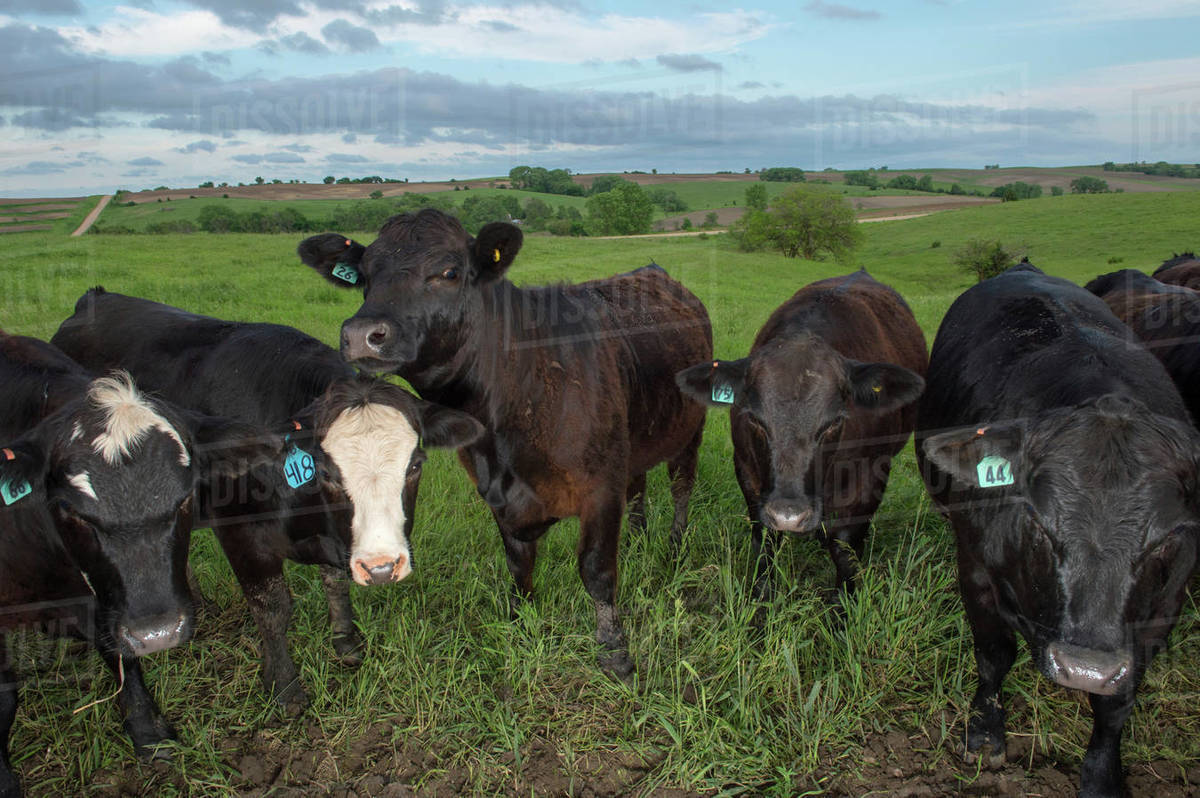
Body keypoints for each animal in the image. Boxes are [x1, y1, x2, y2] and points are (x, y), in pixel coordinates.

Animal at [0, 331, 275, 797]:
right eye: (72, 511)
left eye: (184, 498)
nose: (158, 633)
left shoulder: (105, 600)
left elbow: (120, 654)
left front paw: (148, 733)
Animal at [51, 290, 483, 712]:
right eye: (326, 471)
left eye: (415, 465)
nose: (381, 568)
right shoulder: (241, 533)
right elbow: (273, 608)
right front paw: (285, 687)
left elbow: (335, 582)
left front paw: (345, 642)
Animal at [296, 208, 712, 676]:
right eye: (365, 275)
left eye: (449, 272)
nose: (362, 333)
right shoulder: (497, 493)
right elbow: (519, 563)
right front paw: (521, 622)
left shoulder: (601, 487)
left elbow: (596, 569)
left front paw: (614, 652)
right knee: (639, 484)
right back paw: (639, 535)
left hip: (690, 427)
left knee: (681, 485)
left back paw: (675, 546)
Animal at [675, 270, 927, 602]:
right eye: (755, 419)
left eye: (834, 422)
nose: (789, 515)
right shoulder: (747, 468)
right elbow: (764, 537)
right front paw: (761, 597)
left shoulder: (871, 476)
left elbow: (845, 549)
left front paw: (843, 606)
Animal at [916, 263, 1200, 798]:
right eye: (1038, 519)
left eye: (1165, 536)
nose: (1085, 668)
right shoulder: (975, 566)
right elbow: (994, 654)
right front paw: (985, 734)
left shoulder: (1163, 608)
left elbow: (1117, 701)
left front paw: (1102, 776)